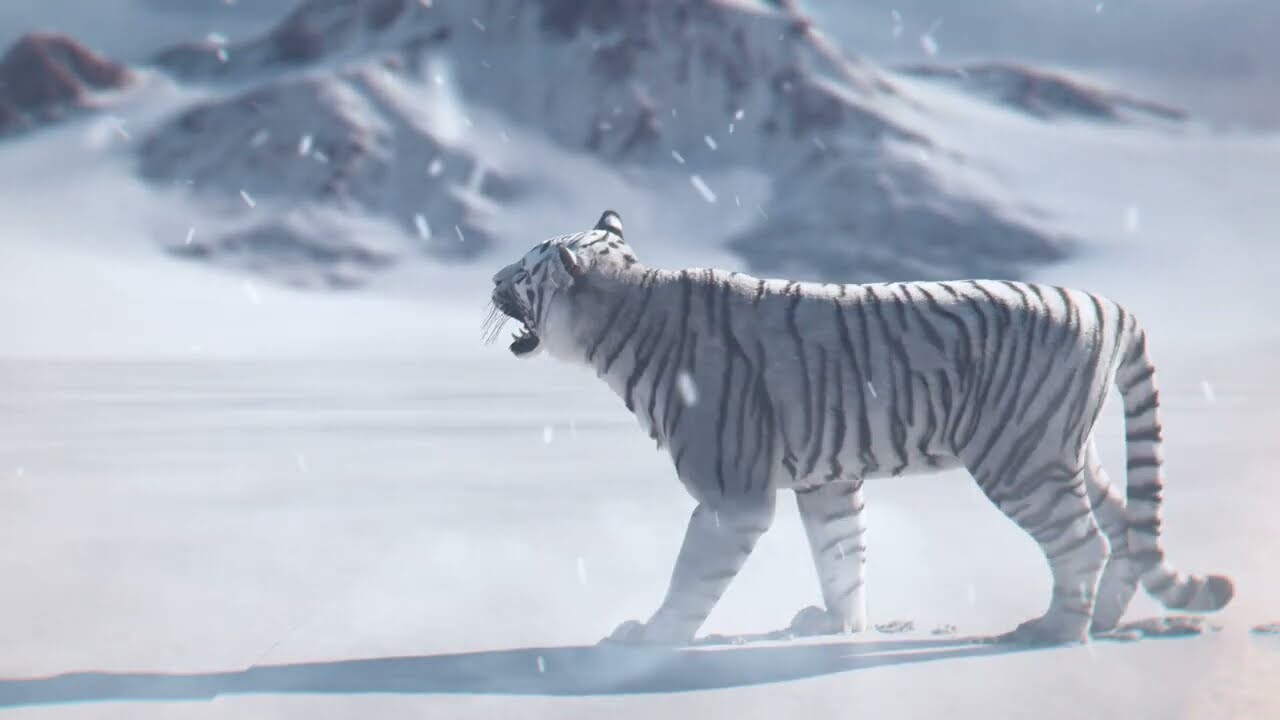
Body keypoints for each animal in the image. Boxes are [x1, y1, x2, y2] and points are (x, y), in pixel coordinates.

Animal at [485, 209, 1233, 646]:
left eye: (525, 270)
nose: (491, 278)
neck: (618, 325)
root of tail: (1103, 301)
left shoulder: (733, 495)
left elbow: (693, 575)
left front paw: (651, 638)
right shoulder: (826, 480)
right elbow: (842, 557)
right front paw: (839, 626)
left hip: (1022, 460)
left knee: (1083, 542)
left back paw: (1052, 631)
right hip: (1066, 450)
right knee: (1123, 526)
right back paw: (1106, 622)